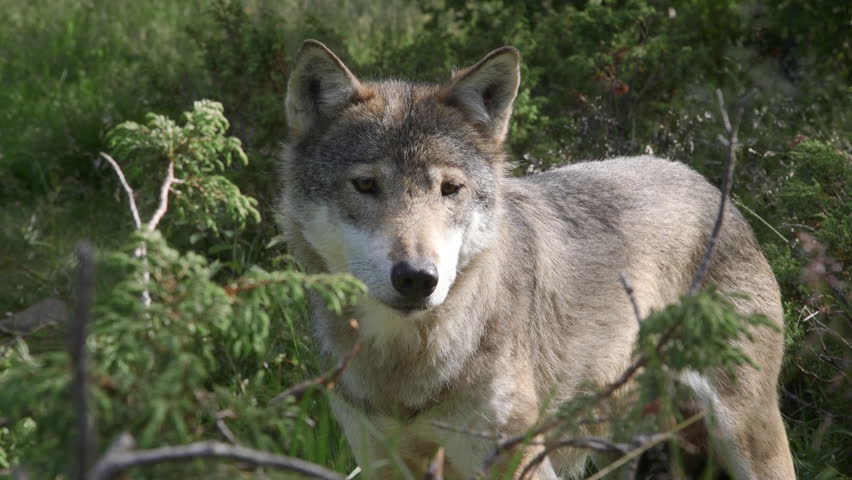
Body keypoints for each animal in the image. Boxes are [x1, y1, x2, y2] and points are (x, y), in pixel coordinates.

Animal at [277, 40, 795, 479]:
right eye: (365, 185)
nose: (418, 278)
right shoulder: (383, 461)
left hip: (747, 435)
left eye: (450, 189)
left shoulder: (520, 459)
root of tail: (709, 185)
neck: (406, 366)